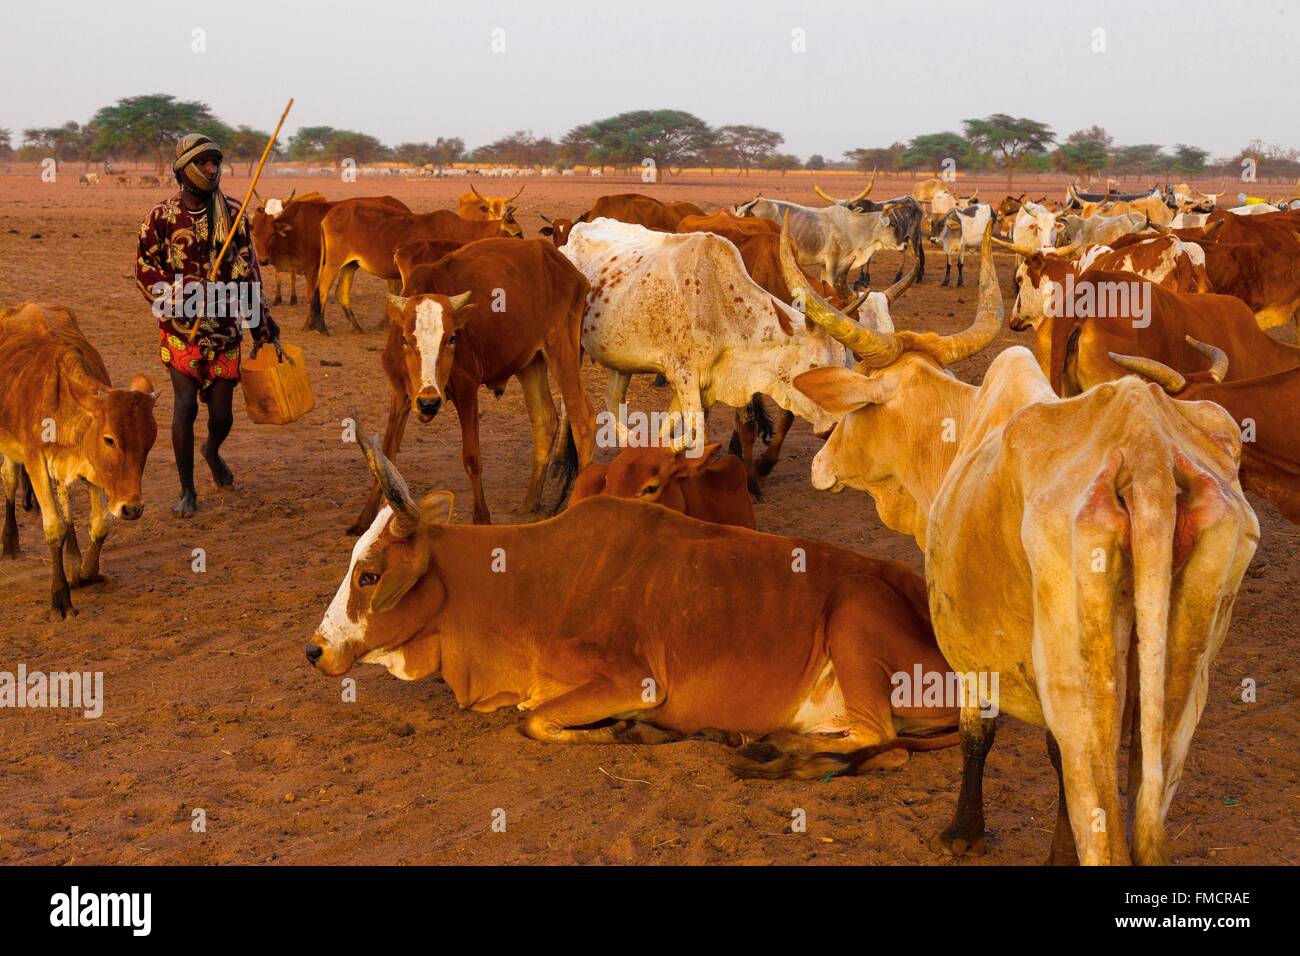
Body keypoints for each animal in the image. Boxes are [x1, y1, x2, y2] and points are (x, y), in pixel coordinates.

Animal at [0, 304, 159, 618]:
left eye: (149, 442)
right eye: (110, 440)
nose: (133, 509)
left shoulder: (93, 469)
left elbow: (99, 524)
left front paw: (85, 571)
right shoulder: (35, 462)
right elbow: (54, 527)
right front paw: (60, 597)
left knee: (66, 500)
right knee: (9, 481)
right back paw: (10, 543)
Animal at [311, 206, 505, 334]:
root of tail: (328, 216)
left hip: (349, 265)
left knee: (341, 292)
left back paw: (356, 327)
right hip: (334, 262)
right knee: (323, 287)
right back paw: (322, 327)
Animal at [350, 238, 595, 530]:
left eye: (452, 338)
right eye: (406, 339)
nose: (429, 402)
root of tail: (553, 256)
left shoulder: (467, 391)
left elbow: (472, 458)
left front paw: (481, 517)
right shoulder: (400, 394)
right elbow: (385, 455)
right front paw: (363, 519)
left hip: (563, 352)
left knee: (583, 419)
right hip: (530, 363)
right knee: (545, 420)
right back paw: (529, 504)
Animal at [790, 232, 1259, 864]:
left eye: (855, 408)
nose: (819, 461)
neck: (959, 434)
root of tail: (1146, 455)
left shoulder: (972, 649)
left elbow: (980, 734)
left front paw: (965, 832)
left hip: (1078, 676)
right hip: (1180, 678)